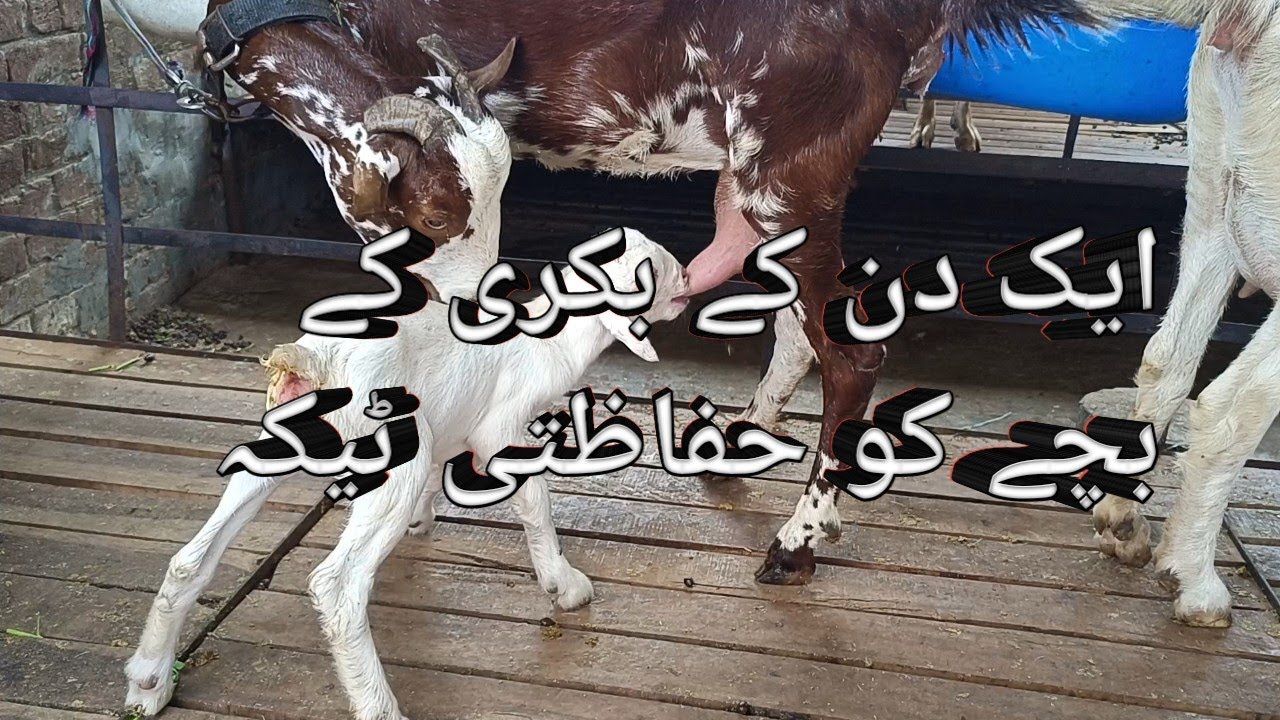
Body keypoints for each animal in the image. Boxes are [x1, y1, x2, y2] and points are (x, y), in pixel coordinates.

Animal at [125, 228, 691, 719]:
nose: (688, 276)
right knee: (337, 585)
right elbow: (536, 503)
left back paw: (149, 680)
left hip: (273, 447)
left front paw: (423, 520)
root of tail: (320, 358)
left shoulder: (445, 422)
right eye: (660, 266)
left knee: (189, 560)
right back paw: (377, 705)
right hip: (395, 456)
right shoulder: (501, 429)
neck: (550, 339)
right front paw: (564, 584)